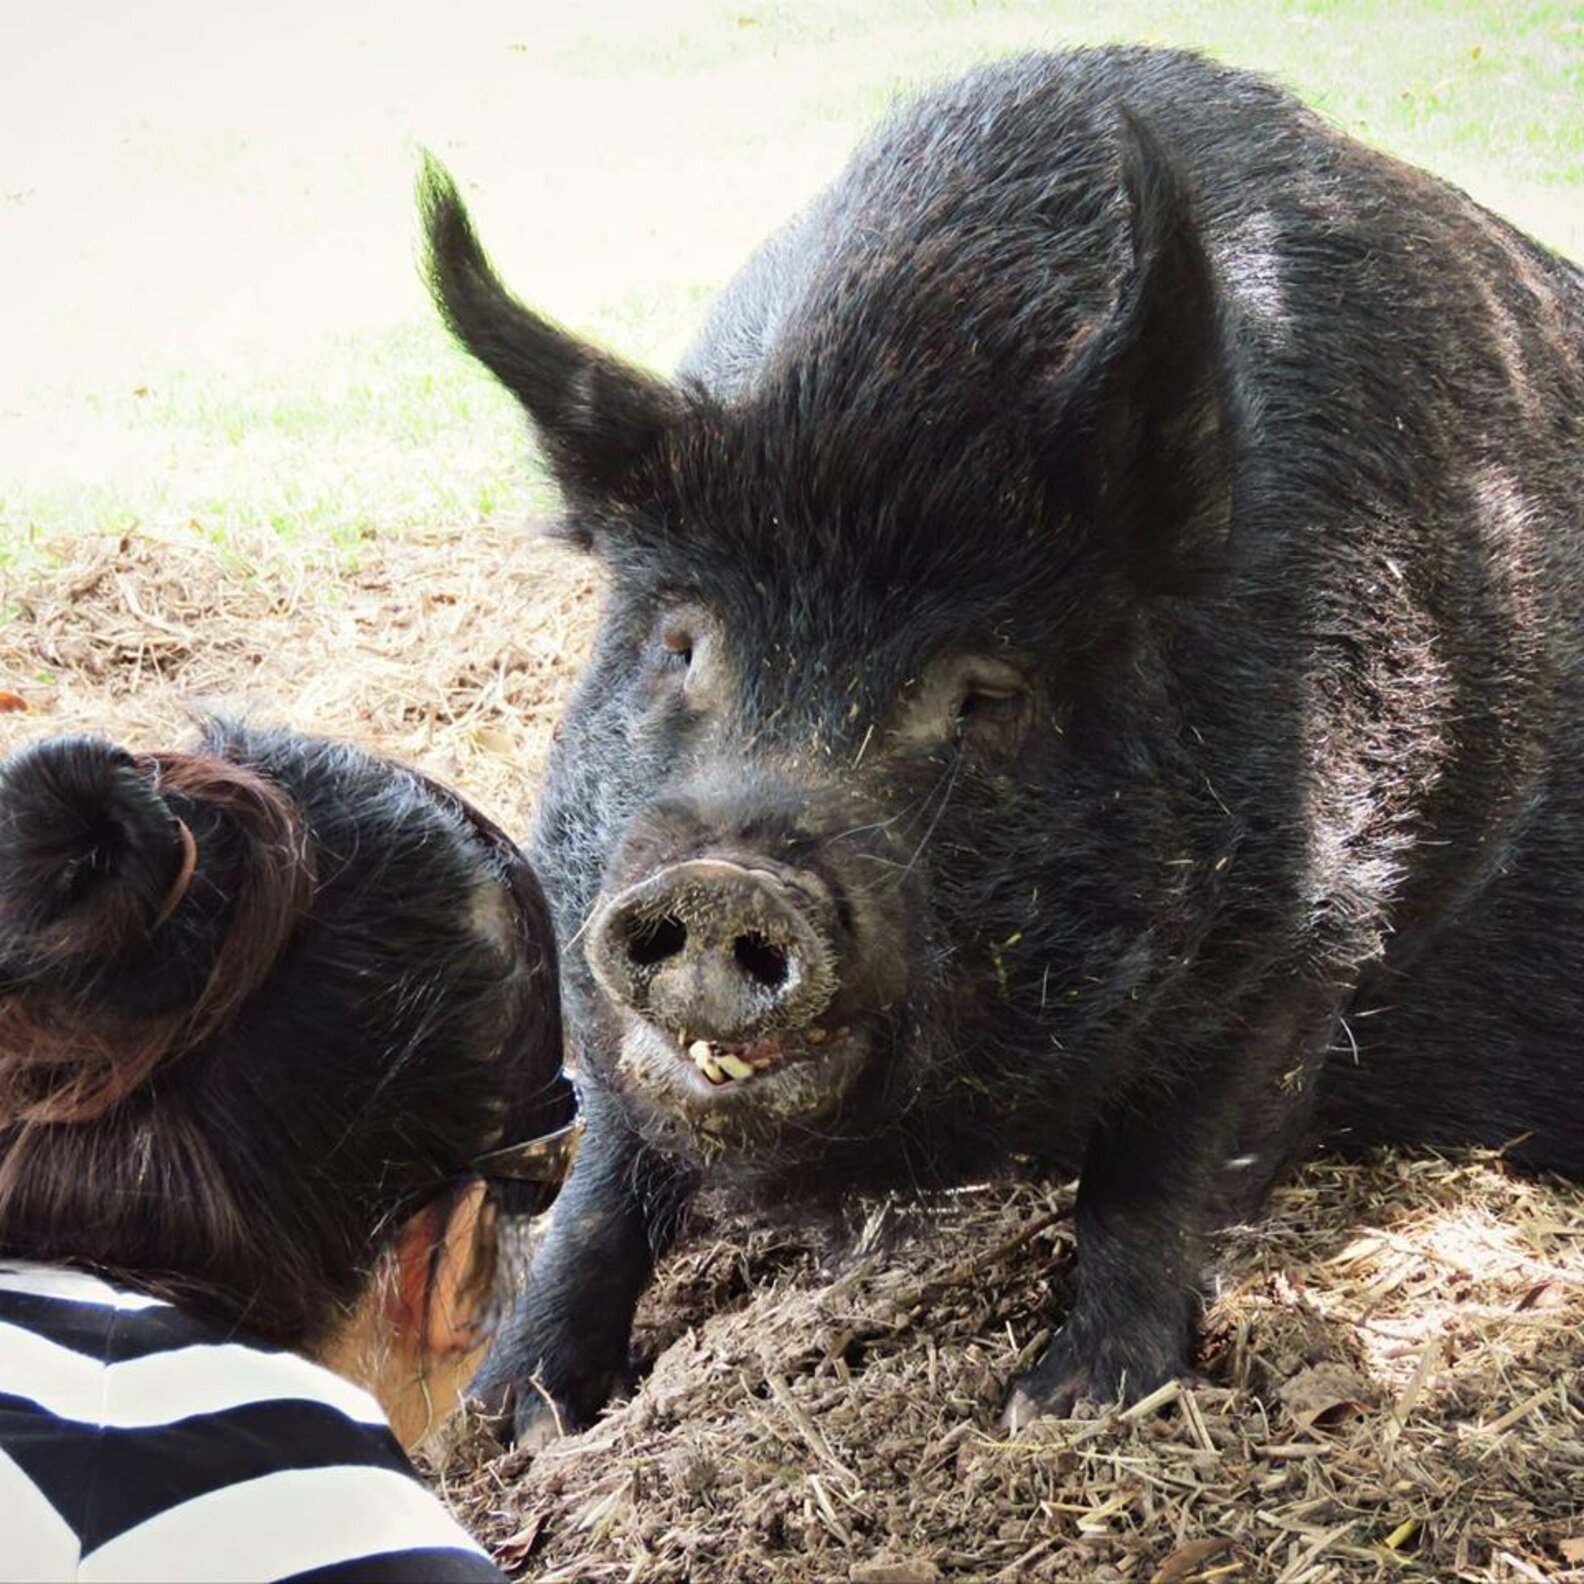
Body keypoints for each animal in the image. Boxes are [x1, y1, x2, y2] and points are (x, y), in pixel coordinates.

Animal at [420, 45, 1584, 1435]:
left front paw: (1069, 1403)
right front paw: (508, 1419)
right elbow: (607, 1161)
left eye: (985, 689)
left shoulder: (1329, 900)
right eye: (681, 643)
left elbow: (1164, 1160)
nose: (721, 882)